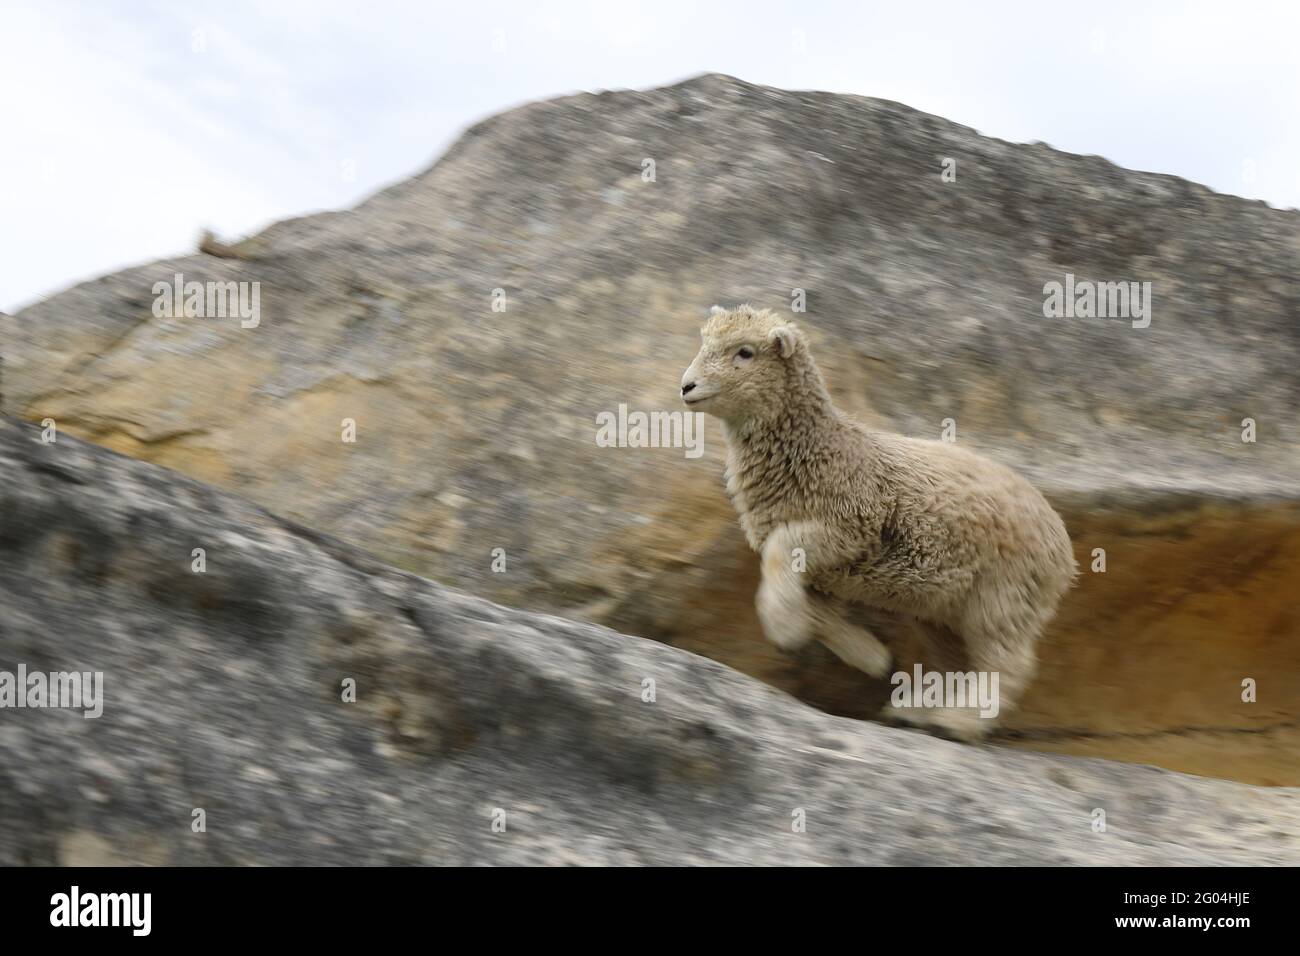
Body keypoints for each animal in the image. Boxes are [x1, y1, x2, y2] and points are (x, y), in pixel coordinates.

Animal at [680, 304, 1075, 739]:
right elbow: (817, 611)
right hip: (946, 606)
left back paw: (960, 720)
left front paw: (784, 628)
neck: (821, 449)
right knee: (957, 661)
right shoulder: (823, 573)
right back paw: (917, 711)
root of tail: (1063, 542)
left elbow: (782, 551)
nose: (687, 386)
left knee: (1007, 661)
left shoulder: (851, 524)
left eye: (745, 352)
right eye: (704, 341)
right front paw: (869, 655)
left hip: (1007, 588)